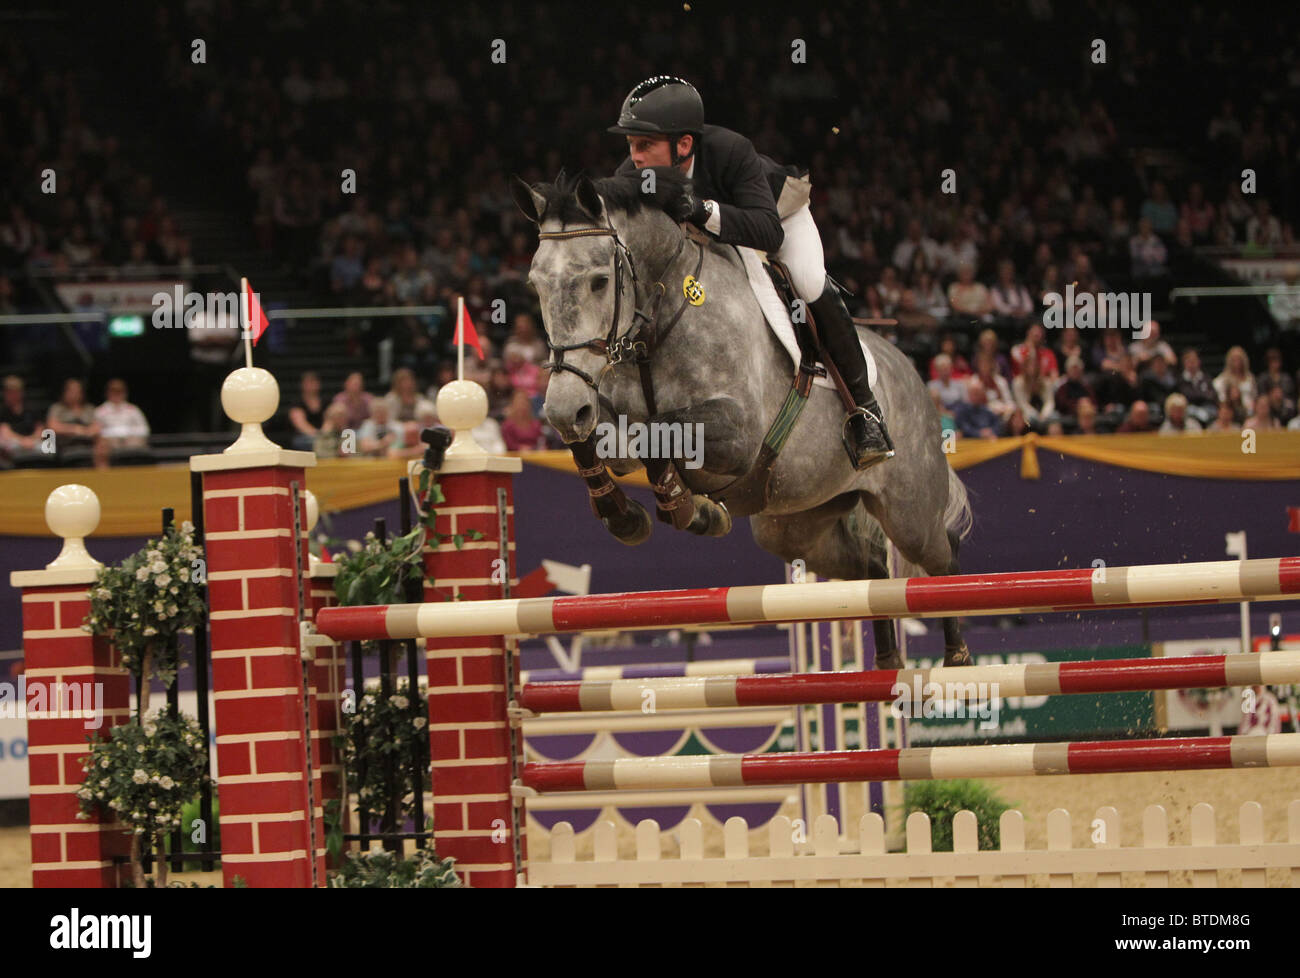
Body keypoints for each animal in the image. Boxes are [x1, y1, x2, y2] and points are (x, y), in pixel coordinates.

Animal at [511, 168, 973, 668]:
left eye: (599, 281)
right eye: (535, 285)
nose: (561, 405)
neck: (657, 324)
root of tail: (911, 371)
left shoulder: (738, 436)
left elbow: (654, 431)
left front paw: (688, 508)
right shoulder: (599, 408)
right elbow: (602, 440)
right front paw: (634, 514)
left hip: (909, 513)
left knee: (942, 560)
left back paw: (956, 659)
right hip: (793, 527)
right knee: (869, 572)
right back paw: (888, 663)